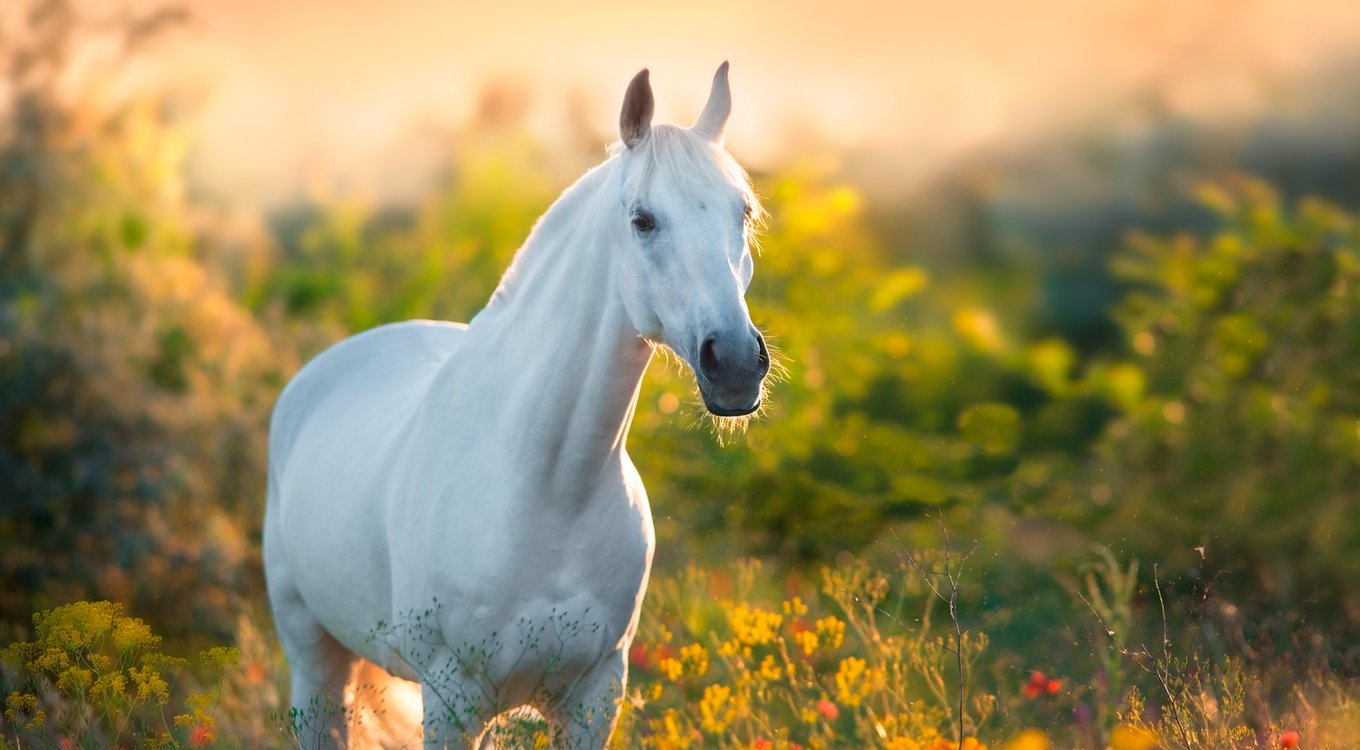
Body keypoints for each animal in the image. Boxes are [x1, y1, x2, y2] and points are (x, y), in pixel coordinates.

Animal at [263, 63, 771, 749]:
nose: (737, 363)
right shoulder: (452, 700)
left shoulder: (595, 698)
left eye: (742, 212)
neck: (549, 487)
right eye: (643, 220)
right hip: (313, 660)